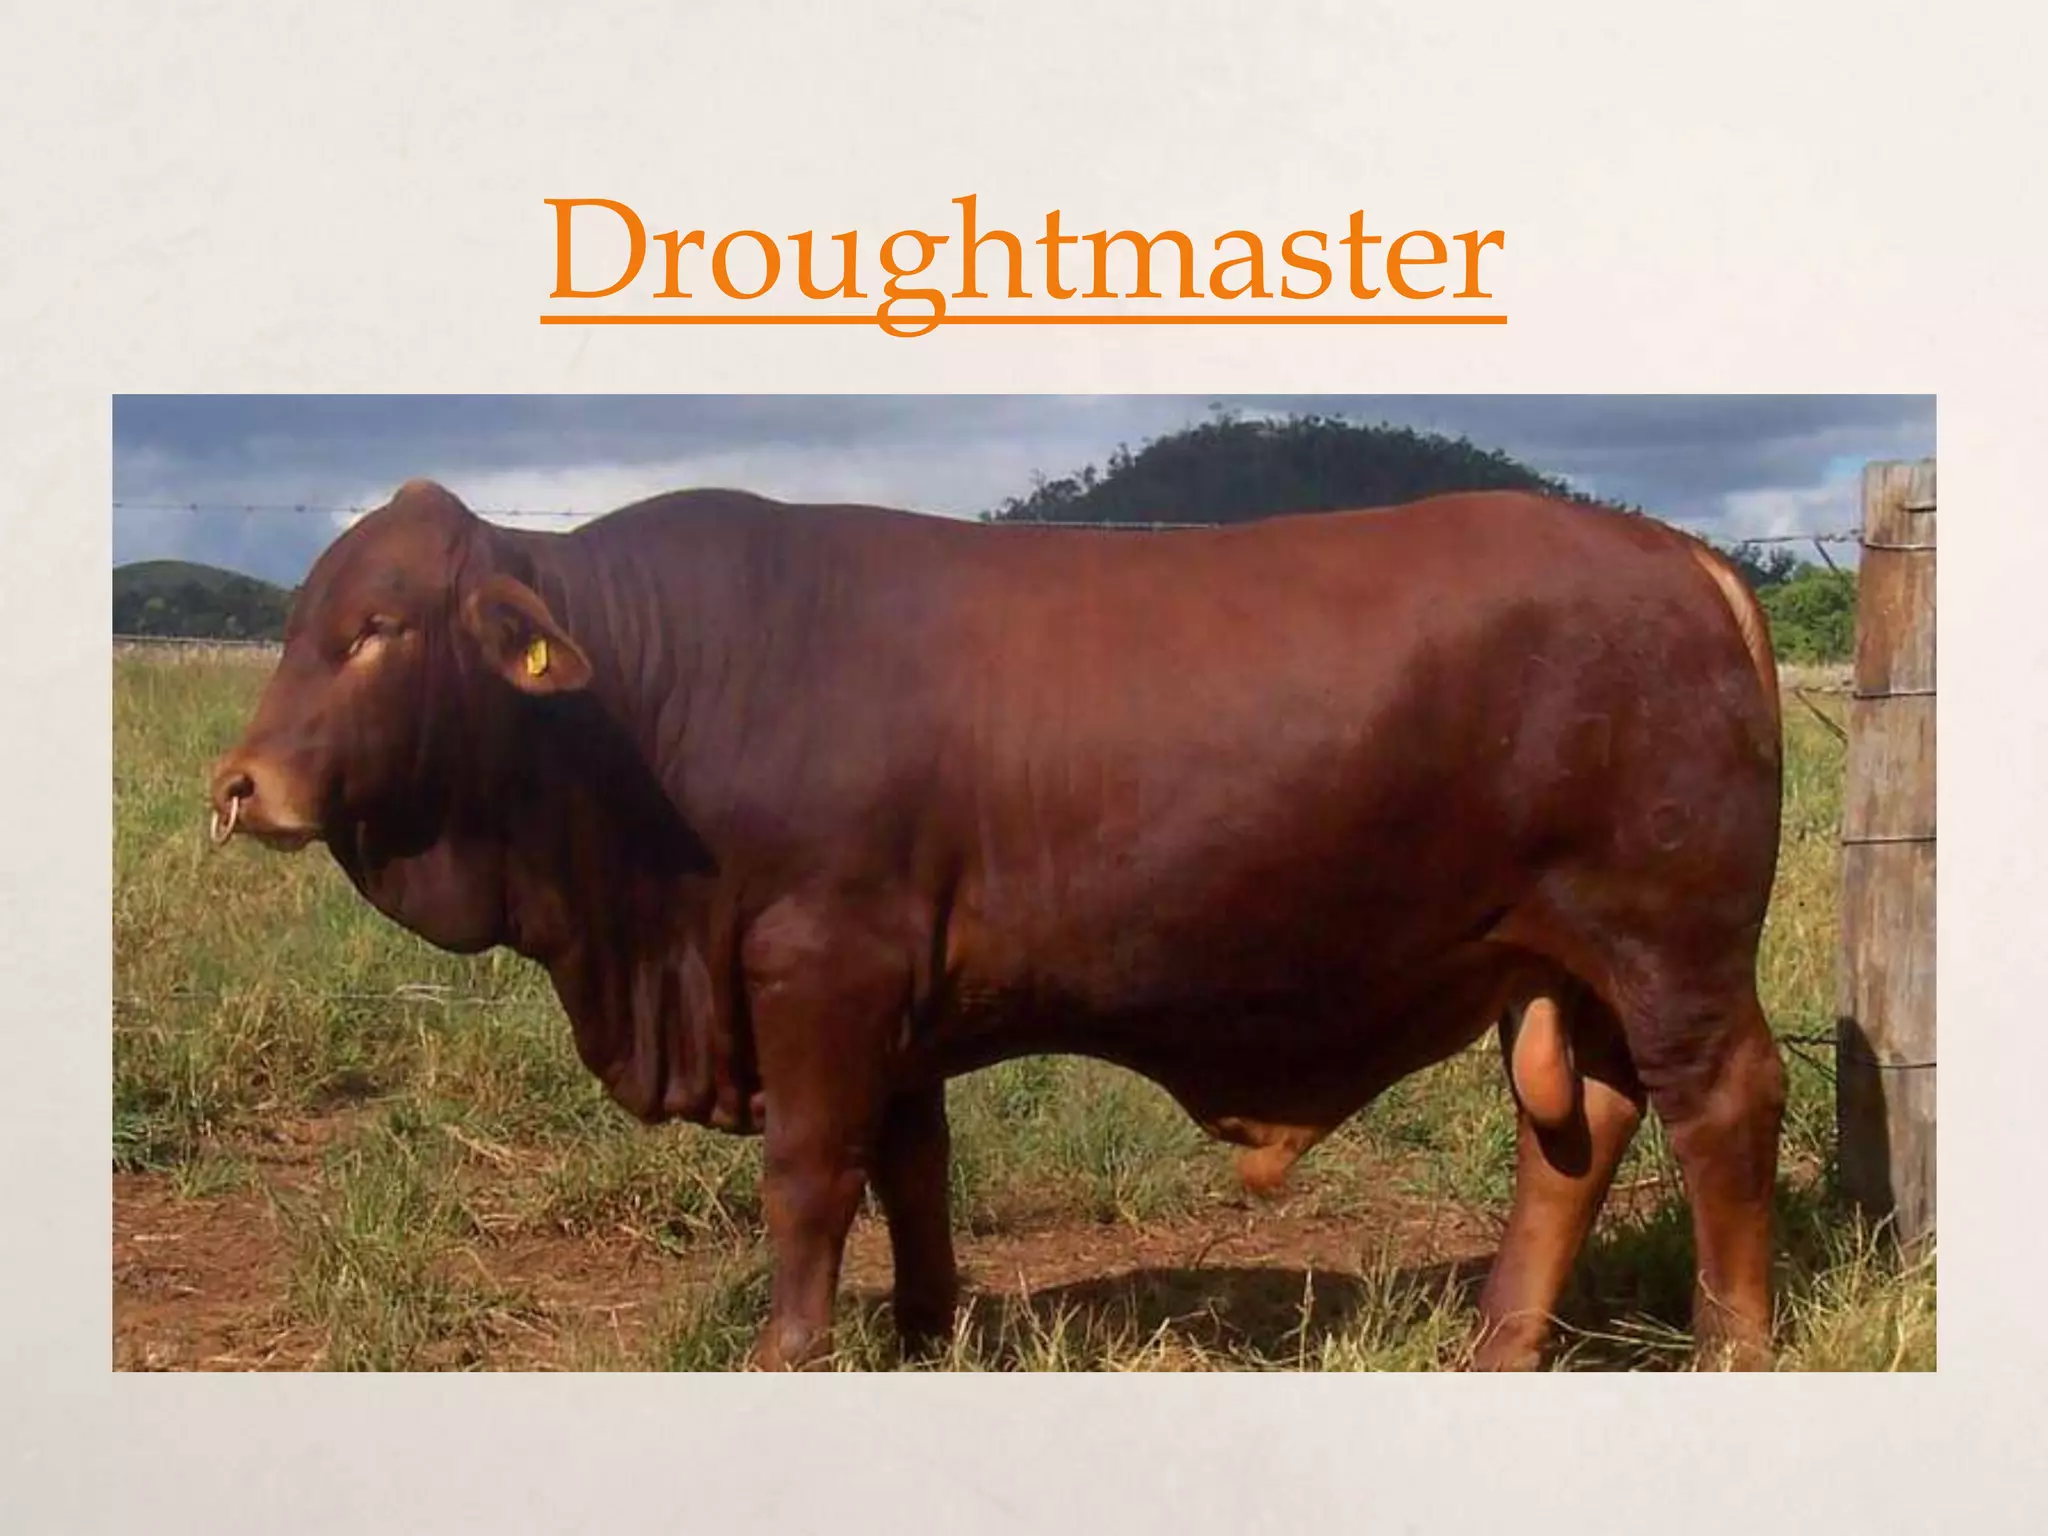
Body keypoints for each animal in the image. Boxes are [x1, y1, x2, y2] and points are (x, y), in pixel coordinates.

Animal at [207, 478, 1787, 1371]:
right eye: (294, 620)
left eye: (381, 626)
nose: (240, 786)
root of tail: (1677, 557)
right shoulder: (896, 1010)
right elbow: (912, 1172)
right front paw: (921, 1329)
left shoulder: (819, 969)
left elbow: (808, 1177)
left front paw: (791, 1350)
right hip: (1567, 966)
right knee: (1572, 1136)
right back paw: (1499, 1344)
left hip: (1672, 953)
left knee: (1719, 1112)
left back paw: (1730, 1343)